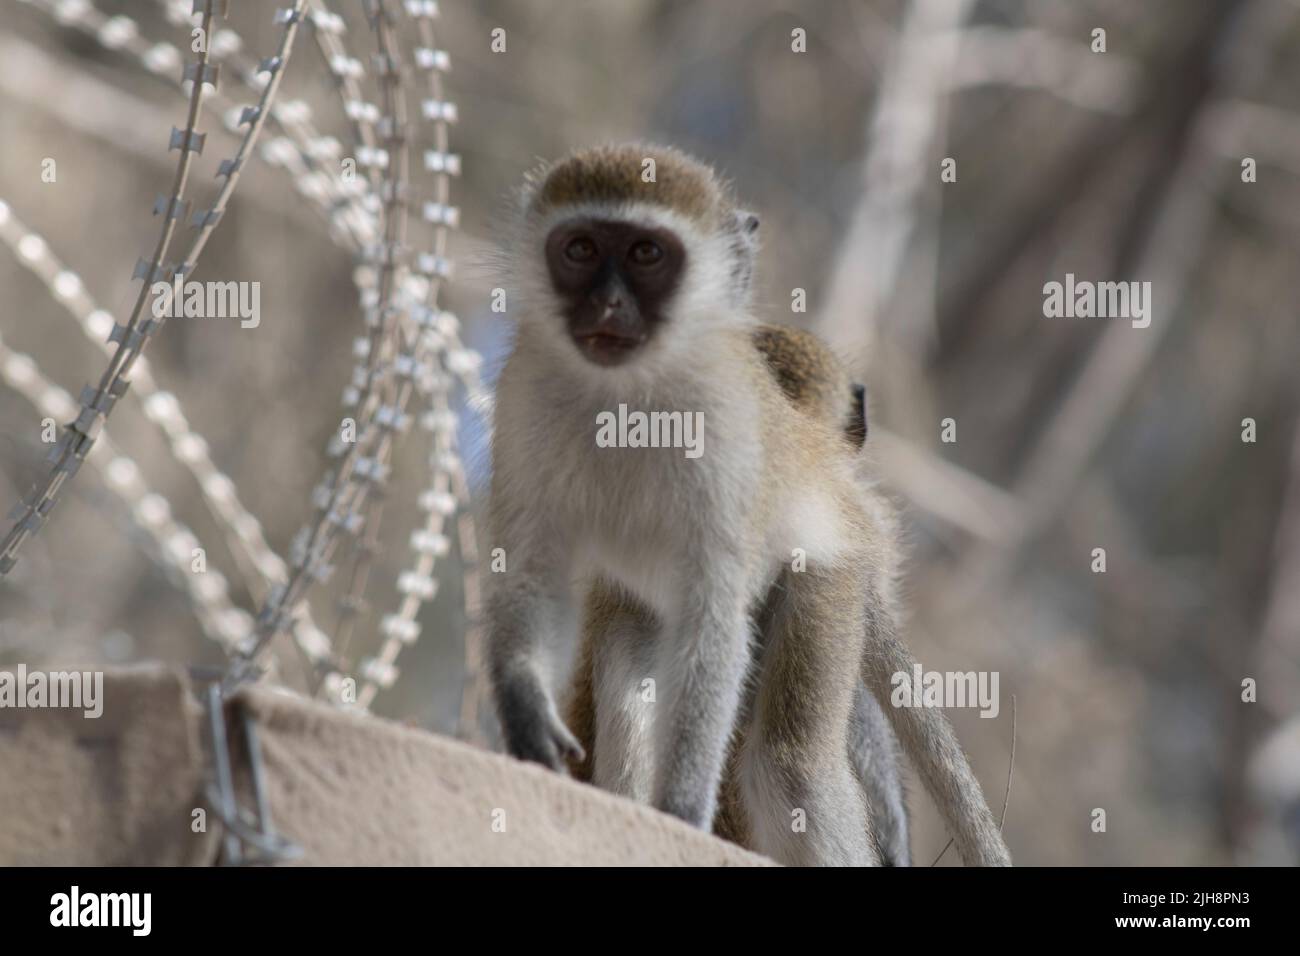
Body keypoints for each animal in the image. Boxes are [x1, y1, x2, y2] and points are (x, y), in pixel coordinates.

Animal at [486, 143, 1010, 866]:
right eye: (581, 249)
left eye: (646, 254)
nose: (608, 306)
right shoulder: (524, 387)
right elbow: (532, 569)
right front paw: (527, 711)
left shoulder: (735, 439)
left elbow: (717, 617)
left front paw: (680, 812)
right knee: (630, 676)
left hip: (829, 577)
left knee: (789, 762)